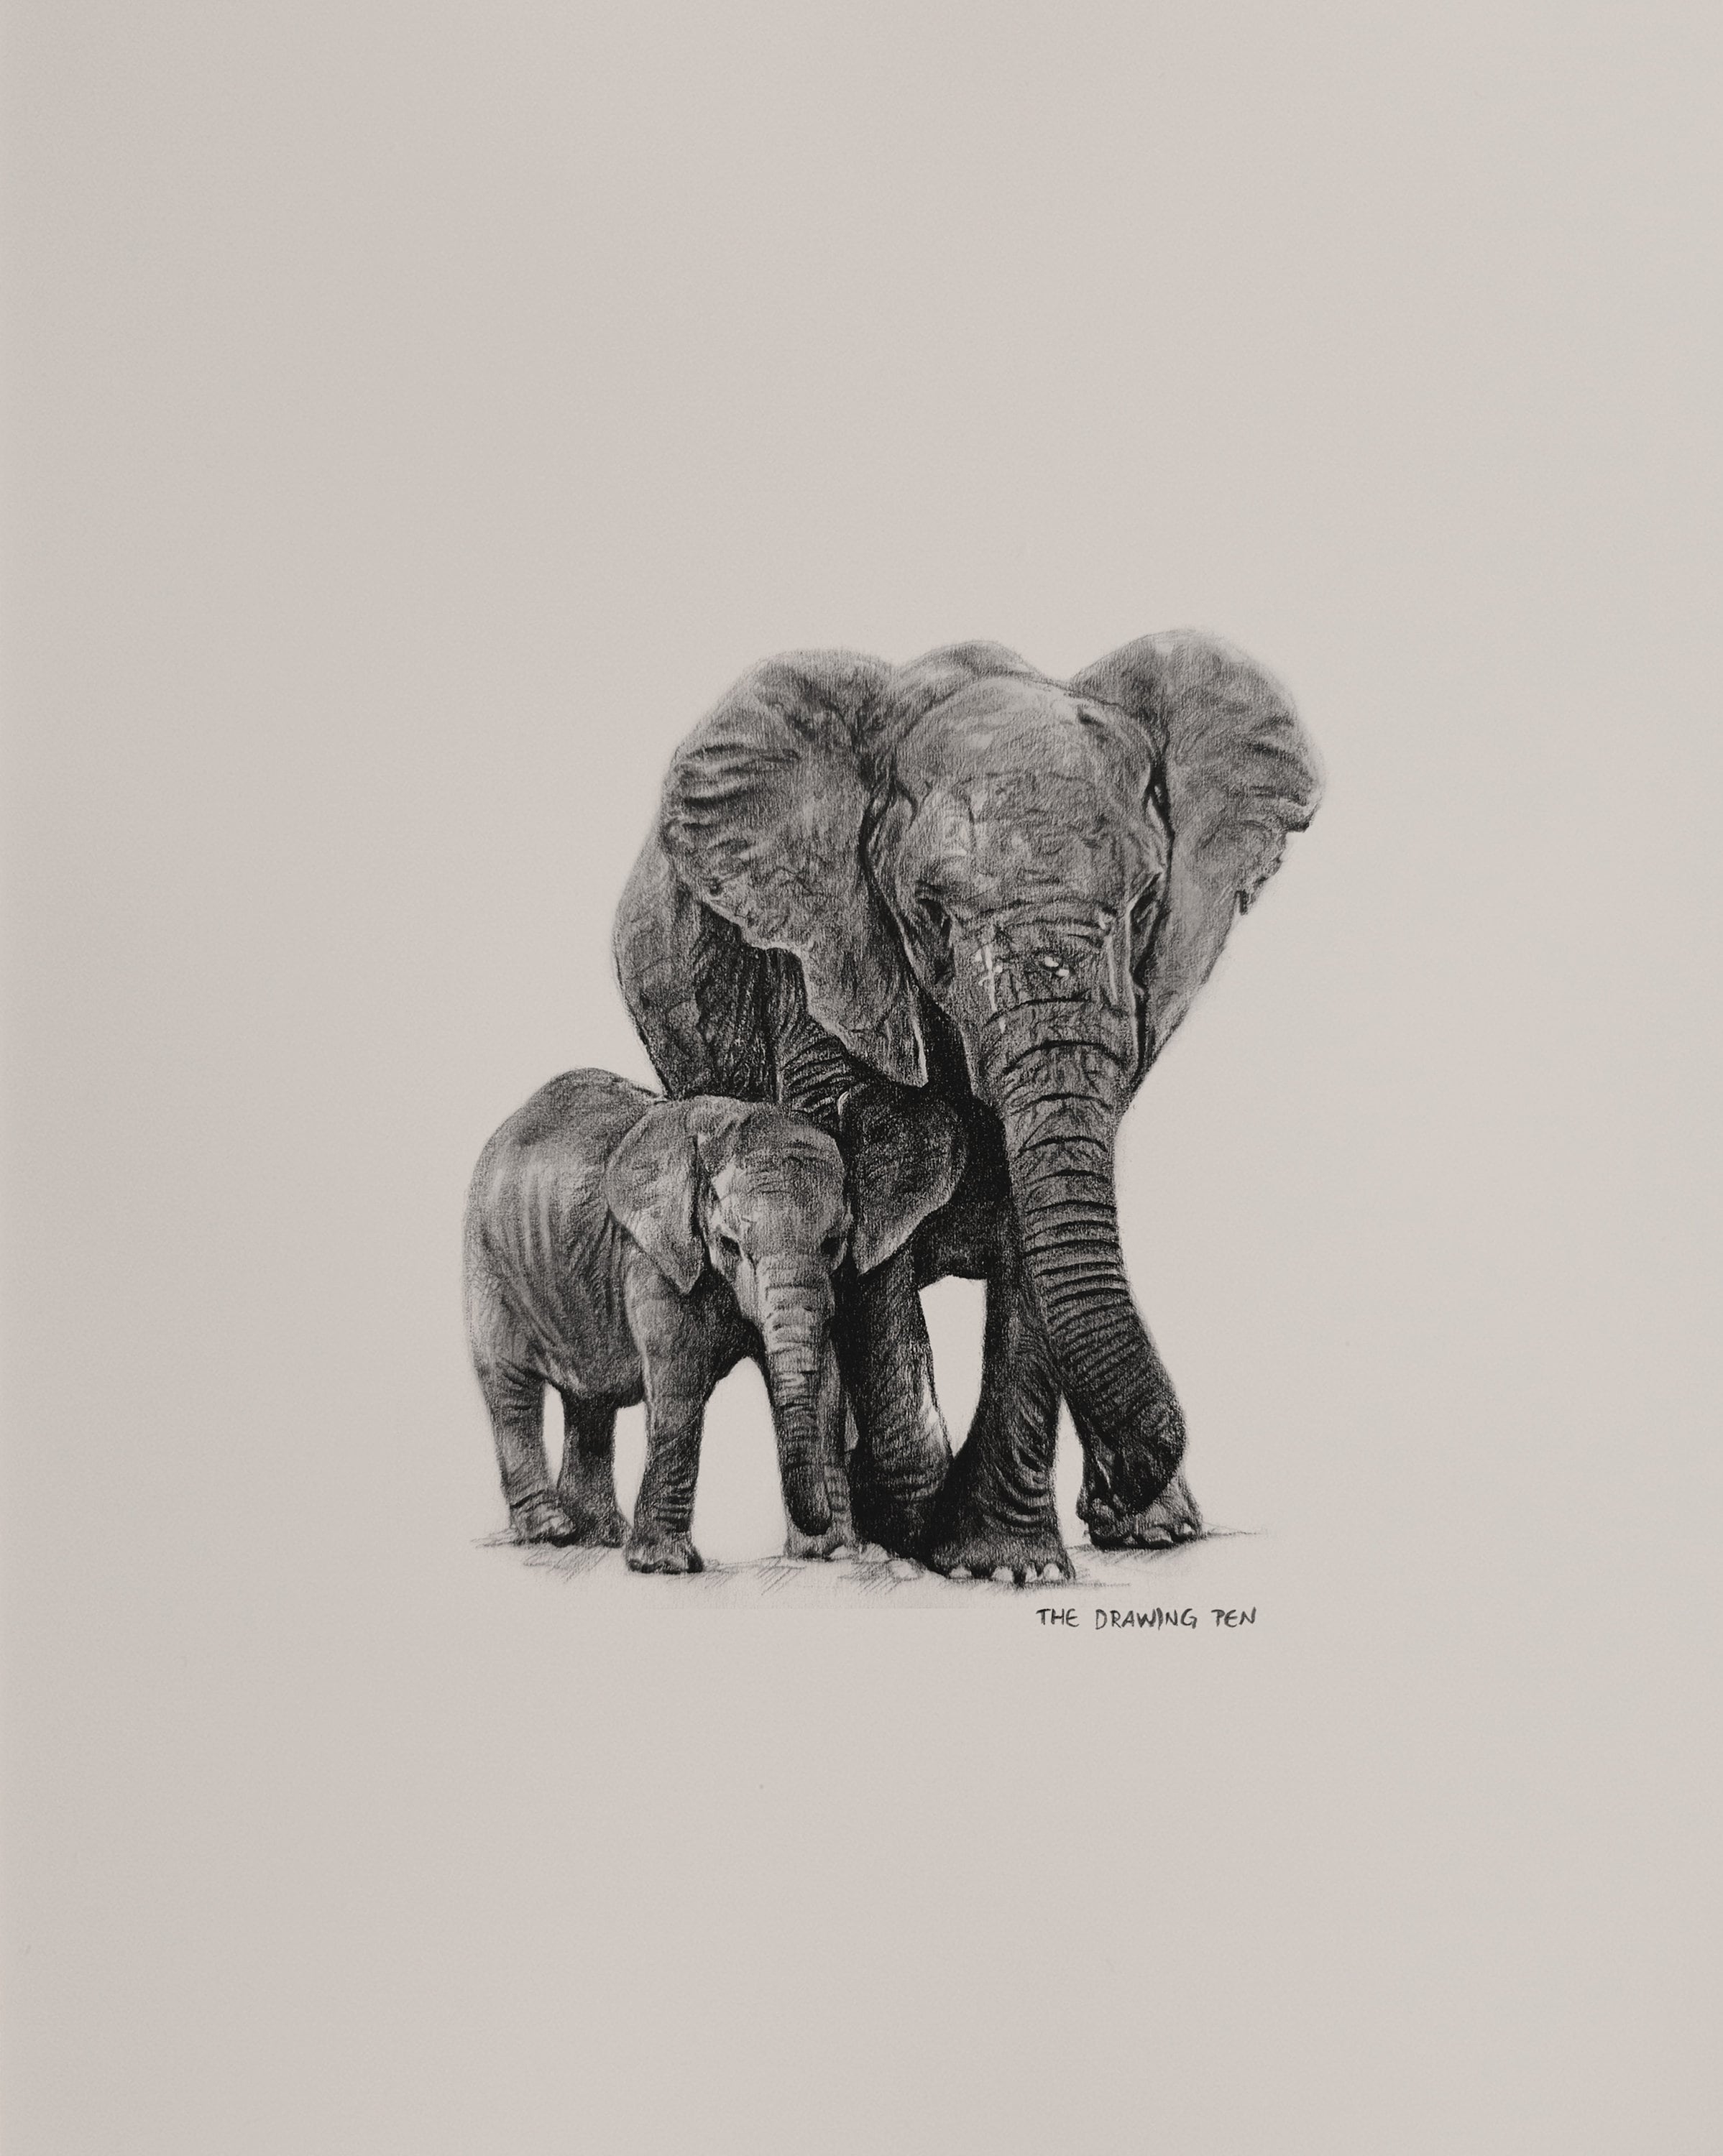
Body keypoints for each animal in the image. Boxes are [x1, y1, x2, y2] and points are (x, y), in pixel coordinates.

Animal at [464, 1068, 964, 1572]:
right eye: (729, 1243)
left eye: (834, 1242)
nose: (822, 1521)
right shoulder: (657, 1259)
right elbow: (680, 1387)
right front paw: (664, 1566)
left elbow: (825, 1384)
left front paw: (833, 1554)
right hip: (490, 1262)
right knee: (512, 1389)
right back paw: (552, 1532)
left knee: (590, 1402)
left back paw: (600, 1536)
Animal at [612, 630, 1323, 1584]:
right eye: (930, 911)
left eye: (1144, 904)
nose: (1135, 1469)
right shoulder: (822, 945)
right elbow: (861, 1186)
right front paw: (906, 1529)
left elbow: (1039, 1214)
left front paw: (1005, 1565)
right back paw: (844, 1538)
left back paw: (1154, 1529)